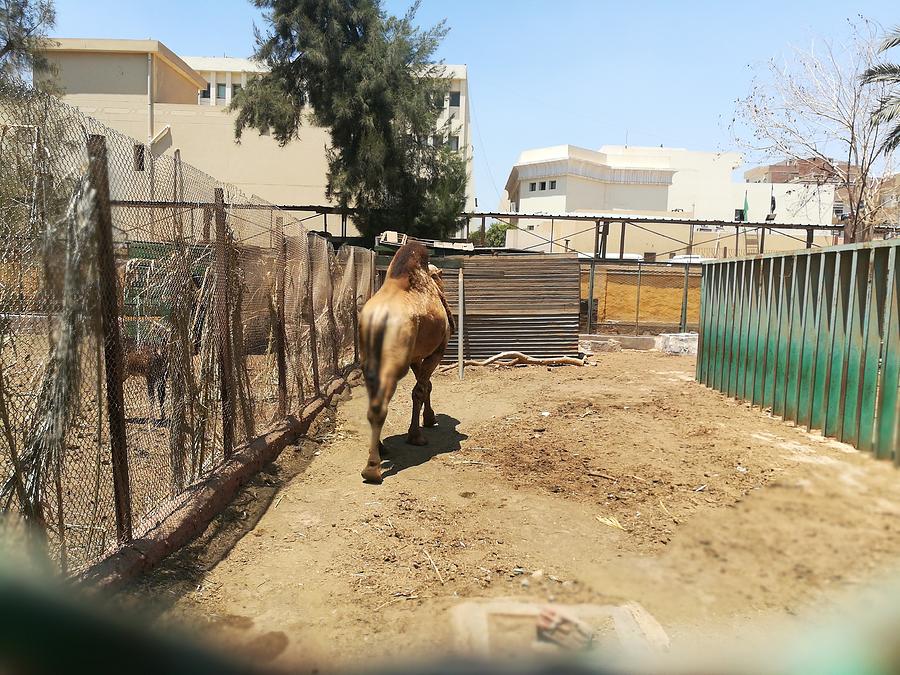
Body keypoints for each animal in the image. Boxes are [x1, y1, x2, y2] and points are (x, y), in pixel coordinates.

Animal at [358, 241, 454, 483]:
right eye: (439, 277)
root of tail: (378, 317)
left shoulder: (415, 357)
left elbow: (426, 386)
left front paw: (429, 418)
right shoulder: (437, 351)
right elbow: (419, 390)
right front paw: (417, 436)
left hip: (368, 360)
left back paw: (381, 448)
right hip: (394, 361)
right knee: (379, 404)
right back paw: (372, 469)